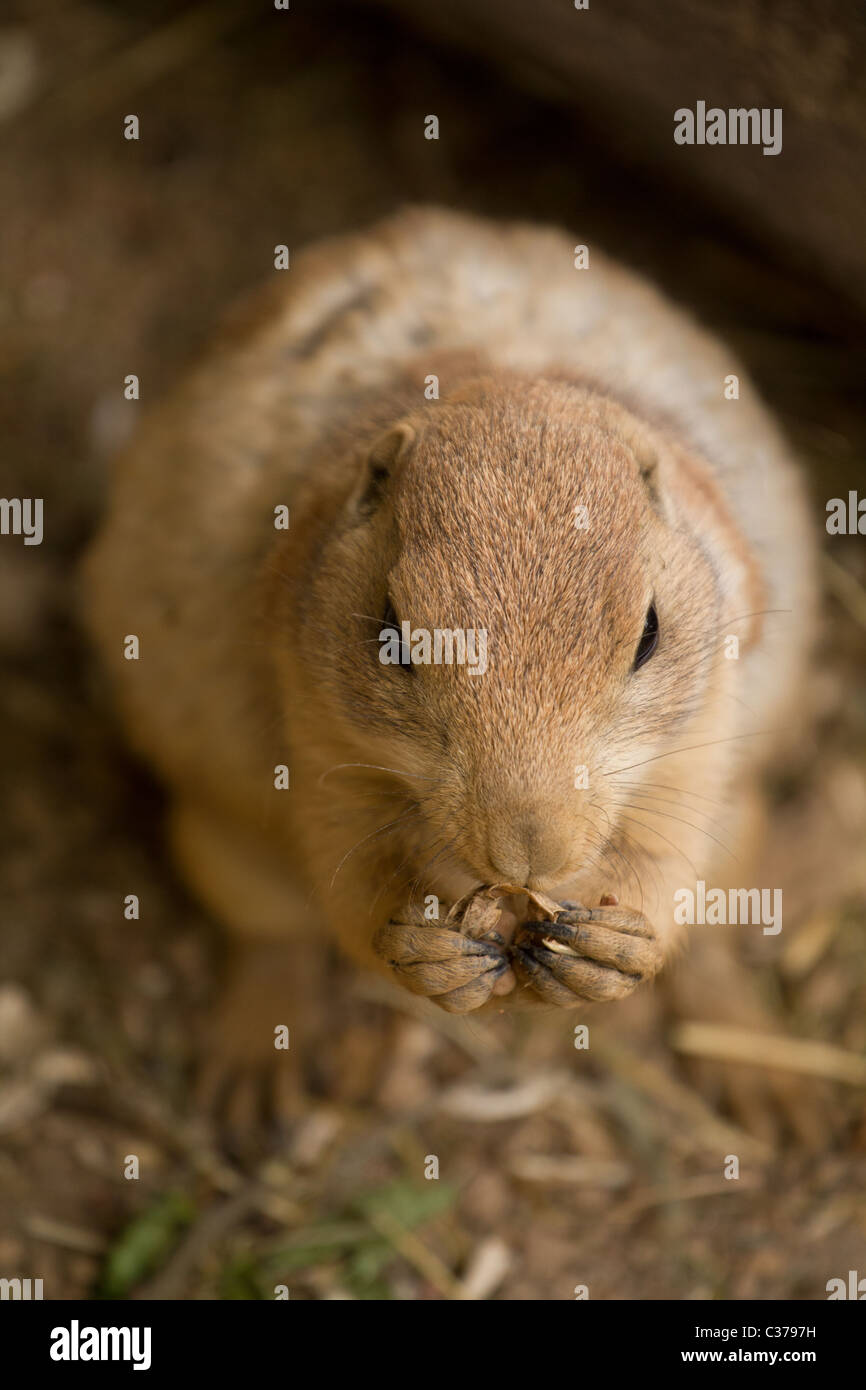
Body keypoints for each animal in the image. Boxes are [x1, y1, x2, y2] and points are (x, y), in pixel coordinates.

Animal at [81, 207, 817, 1118]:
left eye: (649, 632)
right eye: (392, 636)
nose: (527, 851)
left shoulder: (702, 734)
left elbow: (662, 860)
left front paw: (610, 949)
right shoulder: (314, 729)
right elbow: (348, 872)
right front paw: (427, 952)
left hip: (743, 828)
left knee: (713, 936)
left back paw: (762, 1070)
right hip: (219, 836)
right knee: (270, 933)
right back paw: (256, 1071)